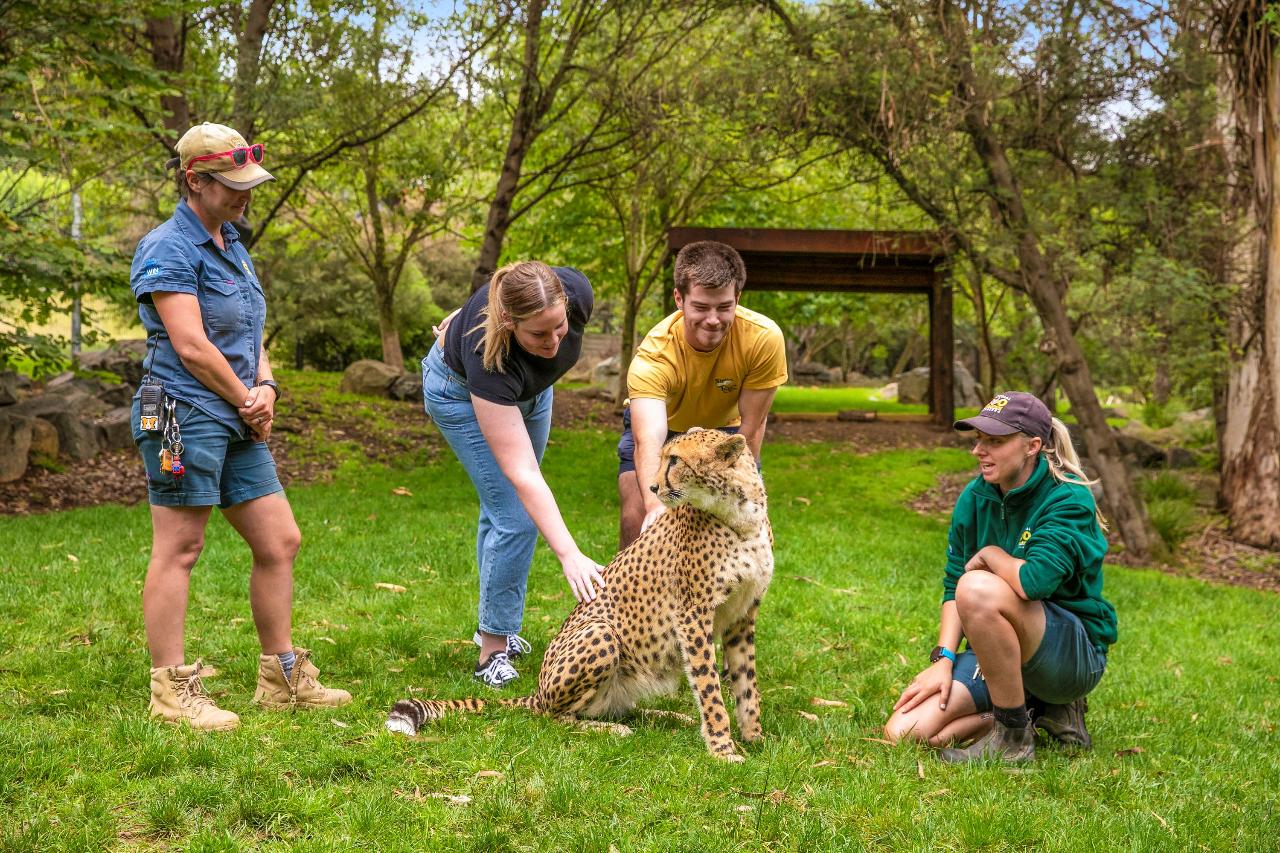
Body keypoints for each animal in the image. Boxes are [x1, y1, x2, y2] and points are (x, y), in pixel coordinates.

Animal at [386, 427, 773, 761]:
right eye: (664, 457)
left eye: (675, 460)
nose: (652, 486)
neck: (741, 516)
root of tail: (538, 692)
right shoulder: (692, 614)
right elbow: (709, 687)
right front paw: (722, 748)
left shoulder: (743, 615)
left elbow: (746, 684)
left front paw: (755, 737)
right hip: (601, 633)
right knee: (557, 718)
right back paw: (612, 730)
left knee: (613, 707)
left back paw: (665, 716)